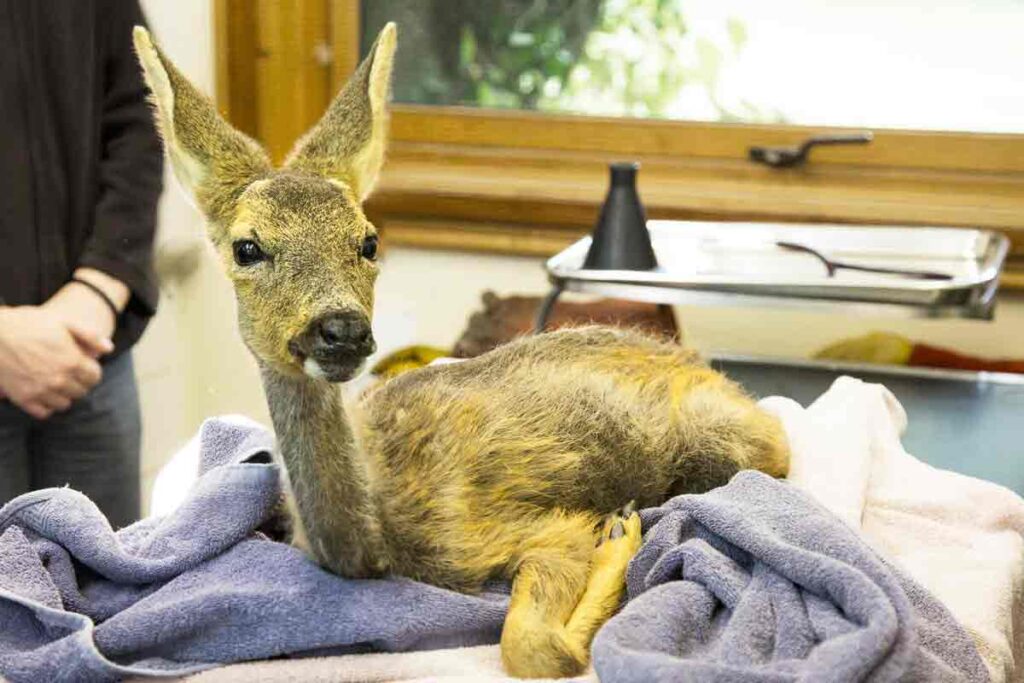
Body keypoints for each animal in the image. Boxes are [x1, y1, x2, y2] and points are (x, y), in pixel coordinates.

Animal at [133, 24, 790, 678]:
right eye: (246, 248)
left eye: (368, 241)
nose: (341, 329)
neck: (376, 539)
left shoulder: (524, 529)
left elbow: (532, 644)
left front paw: (619, 535)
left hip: (725, 447)